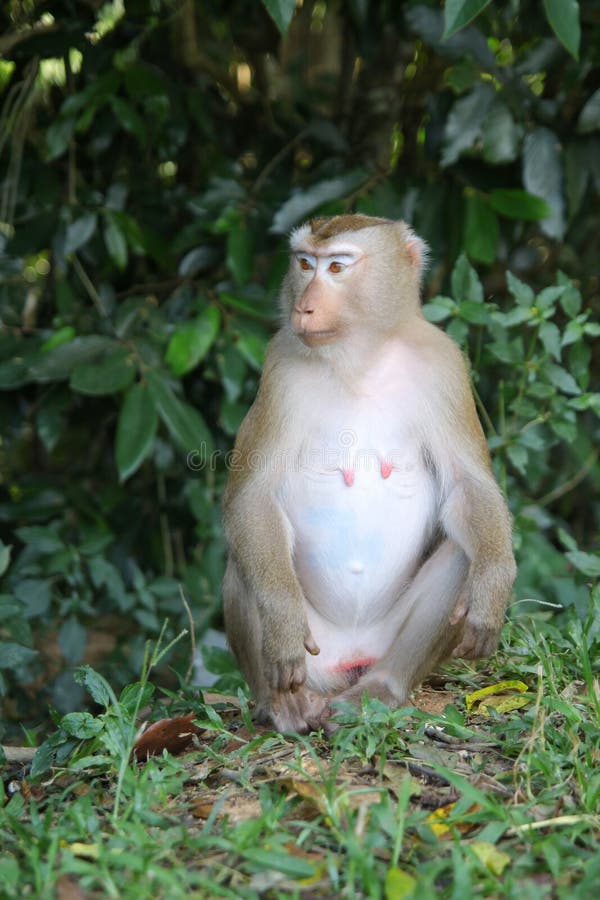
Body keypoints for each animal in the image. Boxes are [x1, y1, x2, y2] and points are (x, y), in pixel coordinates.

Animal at [223, 214, 516, 733]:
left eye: (337, 267)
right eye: (305, 264)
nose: (304, 306)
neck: (357, 358)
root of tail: (351, 659)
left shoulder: (444, 364)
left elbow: (468, 488)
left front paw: (494, 585)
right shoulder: (279, 368)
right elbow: (251, 500)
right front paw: (281, 625)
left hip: (382, 644)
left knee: (465, 553)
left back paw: (382, 689)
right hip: (316, 659)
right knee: (246, 560)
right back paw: (285, 705)